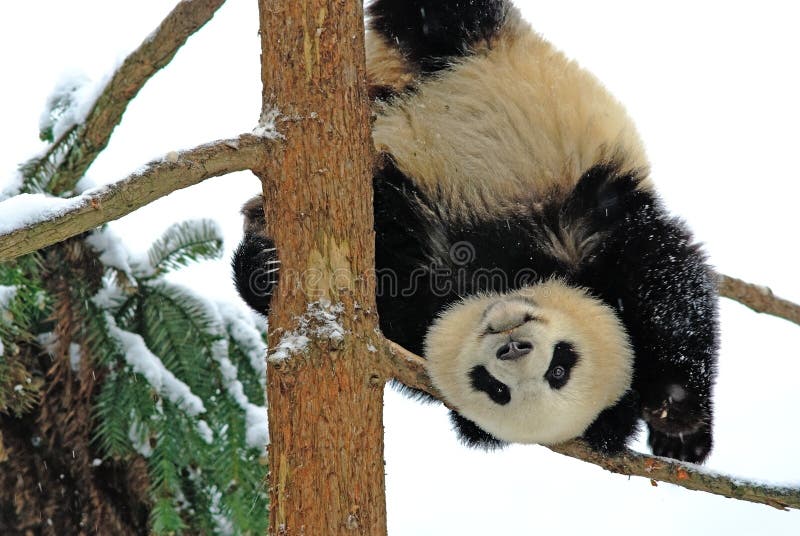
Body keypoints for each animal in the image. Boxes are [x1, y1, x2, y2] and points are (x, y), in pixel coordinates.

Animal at [233, 0, 719, 463]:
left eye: (554, 373)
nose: (512, 345)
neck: (503, 274)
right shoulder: (587, 235)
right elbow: (666, 287)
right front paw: (680, 420)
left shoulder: (417, 315)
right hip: (470, 48)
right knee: (439, 18)